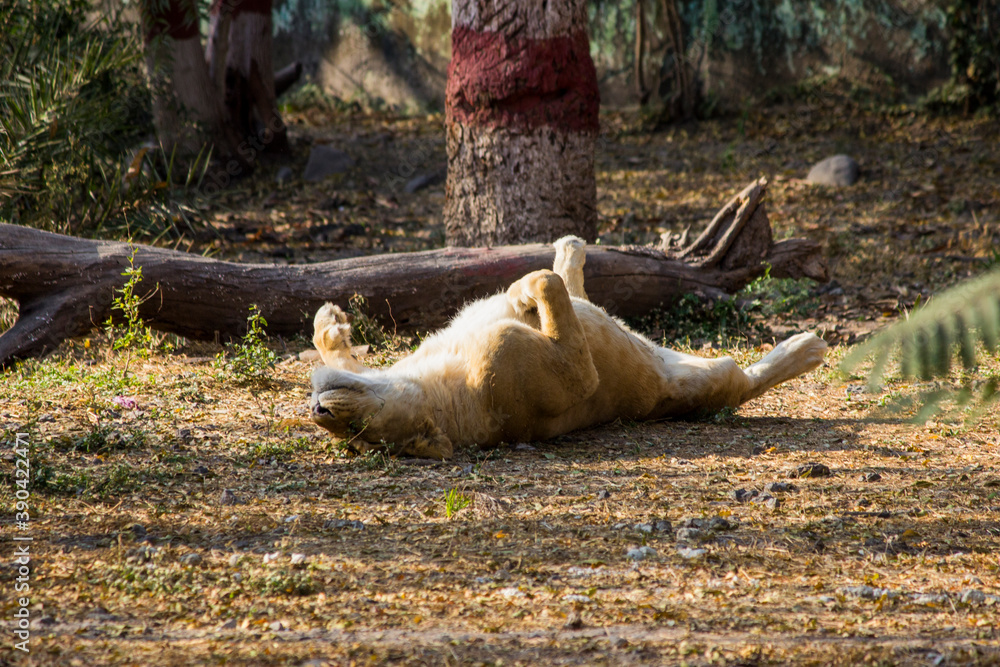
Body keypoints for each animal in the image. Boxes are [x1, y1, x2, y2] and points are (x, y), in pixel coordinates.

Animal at [310, 236, 827, 459]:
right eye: (361, 434)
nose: (320, 412)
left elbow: (328, 350)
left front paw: (330, 322)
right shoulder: (574, 375)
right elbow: (547, 287)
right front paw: (524, 290)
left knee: (581, 292)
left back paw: (569, 247)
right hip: (702, 381)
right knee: (743, 380)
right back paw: (809, 346)